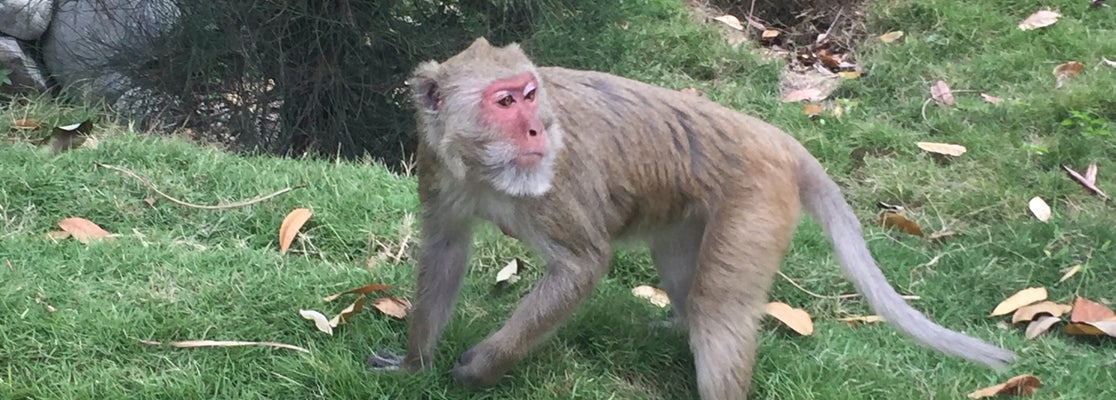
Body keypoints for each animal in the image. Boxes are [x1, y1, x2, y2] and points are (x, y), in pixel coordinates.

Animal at [366, 37, 1014, 399]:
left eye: (530, 94)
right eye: (504, 101)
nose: (535, 130)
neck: (484, 169)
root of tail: (771, 136)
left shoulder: (554, 185)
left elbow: (581, 266)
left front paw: (481, 368)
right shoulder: (439, 169)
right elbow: (445, 254)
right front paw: (413, 364)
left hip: (755, 202)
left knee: (717, 308)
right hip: (692, 214)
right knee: (685, 279)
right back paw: (675, 321)